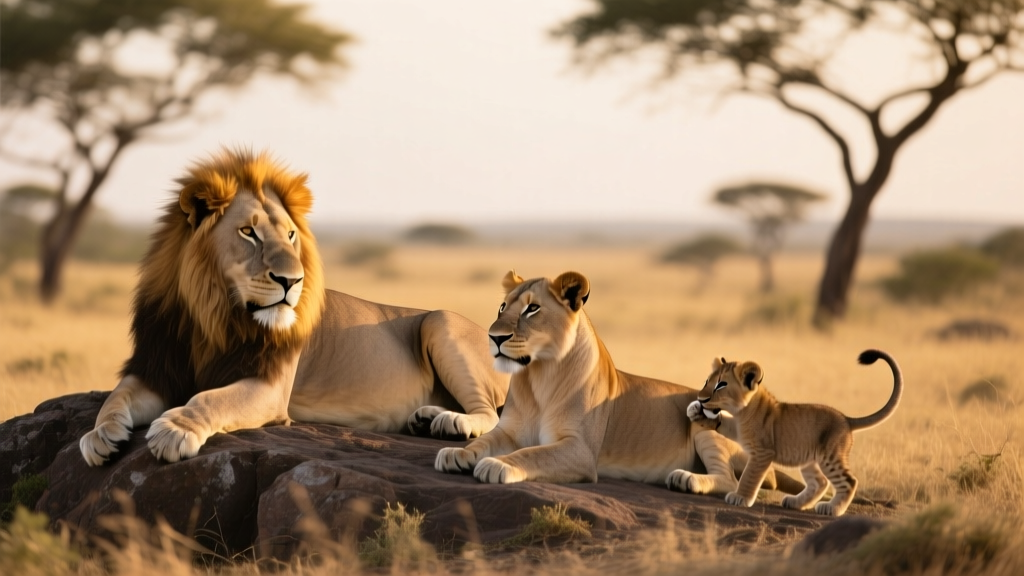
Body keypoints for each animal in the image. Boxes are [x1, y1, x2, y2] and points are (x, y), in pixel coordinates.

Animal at [79, 149, 508, 466]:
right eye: (248, 232)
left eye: (289, 235)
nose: (292, 281)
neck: (212, 314)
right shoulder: (159, 367)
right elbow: (115, 397)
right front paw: (99, 435)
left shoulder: (271, 387)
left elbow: (210, 398)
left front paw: (175, 429)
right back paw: (424, 417)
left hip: (441, 322)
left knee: (492, 414)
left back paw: (451, 422)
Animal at [435, 270, 803, 497]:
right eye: (502, 306)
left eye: (532, 309)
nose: (494, 337)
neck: (538, 376)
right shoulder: (509, 431)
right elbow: (484, 442)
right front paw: (457, 453)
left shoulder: (580, 452)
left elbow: (532, 454)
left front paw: (498, 464)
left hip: (705, 424)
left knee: (729, 481)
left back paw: (685, 479)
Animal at [689, 350, 903, 516]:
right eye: (707, 381)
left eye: (722, 385)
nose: (701, 398)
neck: (743, 412)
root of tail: (847, 419)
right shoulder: (737, 429)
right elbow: (723, 422)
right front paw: (695, 411)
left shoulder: (762, 453)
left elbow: (749, 476)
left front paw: (740, 498)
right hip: (810, 459)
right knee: (820, 482)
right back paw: (795, 503)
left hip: (830, 457)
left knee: (849, 481)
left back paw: (832, 509)